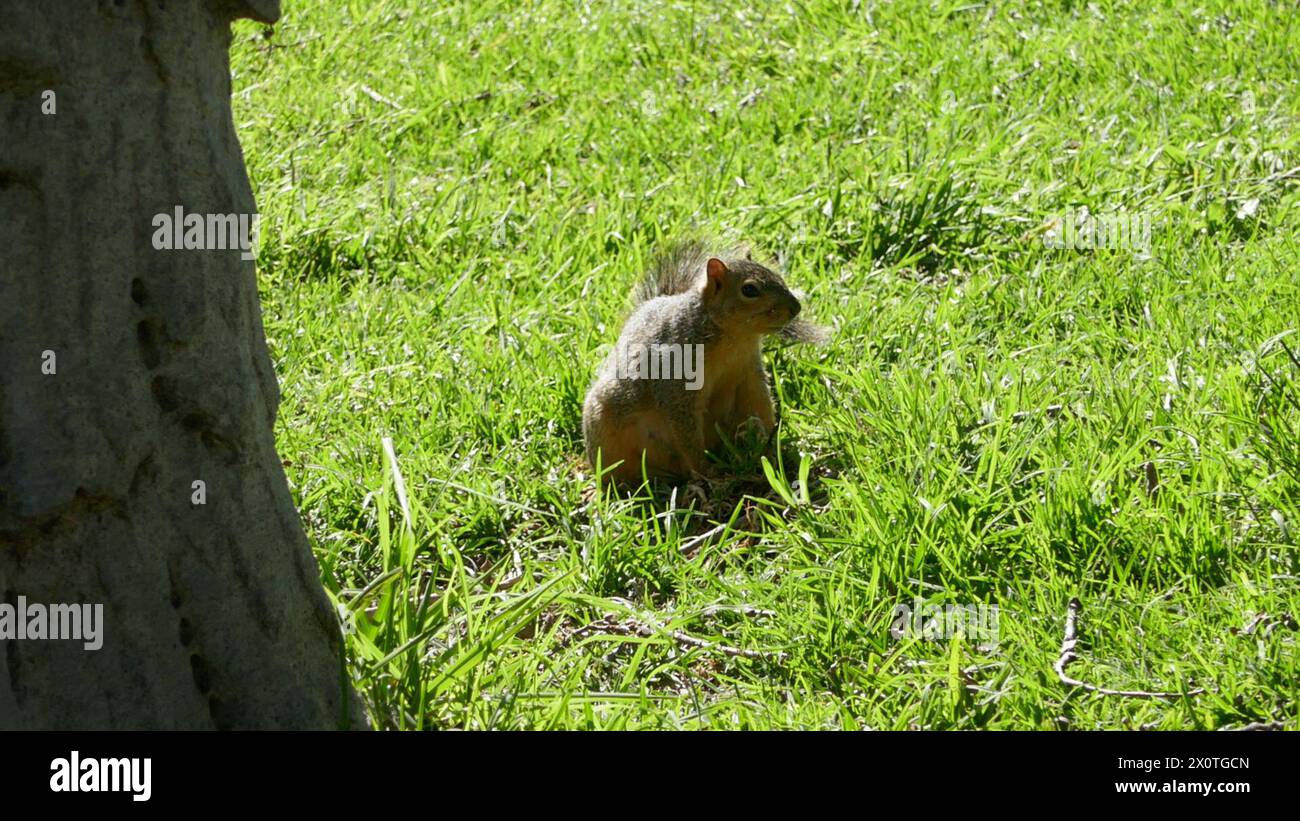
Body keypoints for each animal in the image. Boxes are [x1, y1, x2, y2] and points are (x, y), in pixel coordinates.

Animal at [582, 240, 828, 485]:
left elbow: (760, 405)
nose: (796, 308)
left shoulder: (750, 374)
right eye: (749, 289)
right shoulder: (675, 378)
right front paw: (707, 471)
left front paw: (770, 451)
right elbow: (685, 429)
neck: (736, 338)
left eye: (777, 275)